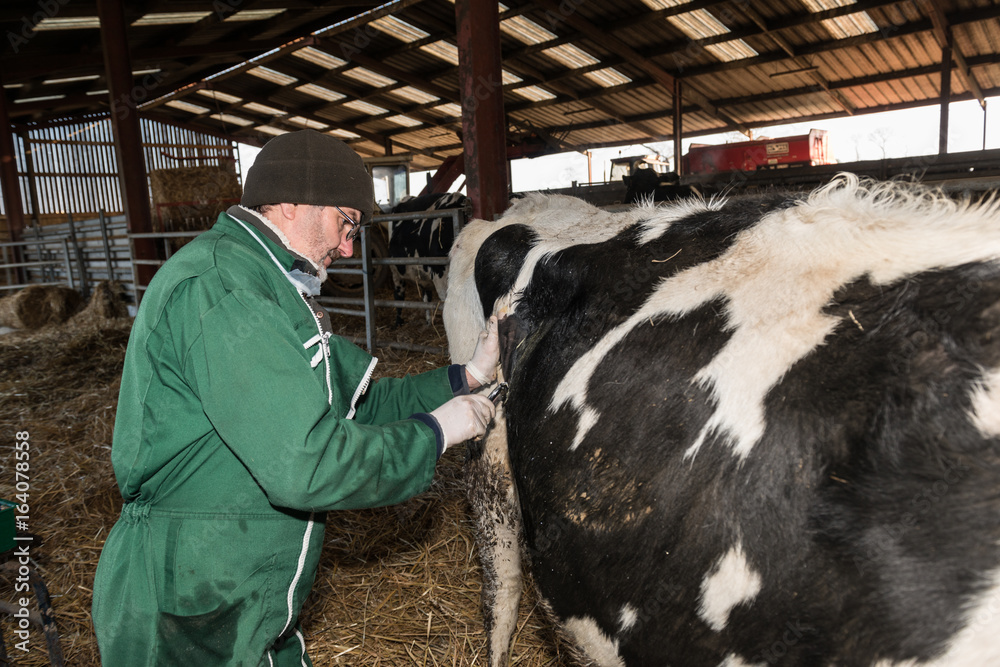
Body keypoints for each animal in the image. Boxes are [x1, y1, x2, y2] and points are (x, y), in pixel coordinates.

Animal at [388, 191, 470, 326]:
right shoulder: (440, 276)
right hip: (396, 271)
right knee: (399, 295)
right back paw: (398, 321)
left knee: (426, 296)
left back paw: (428, 322)